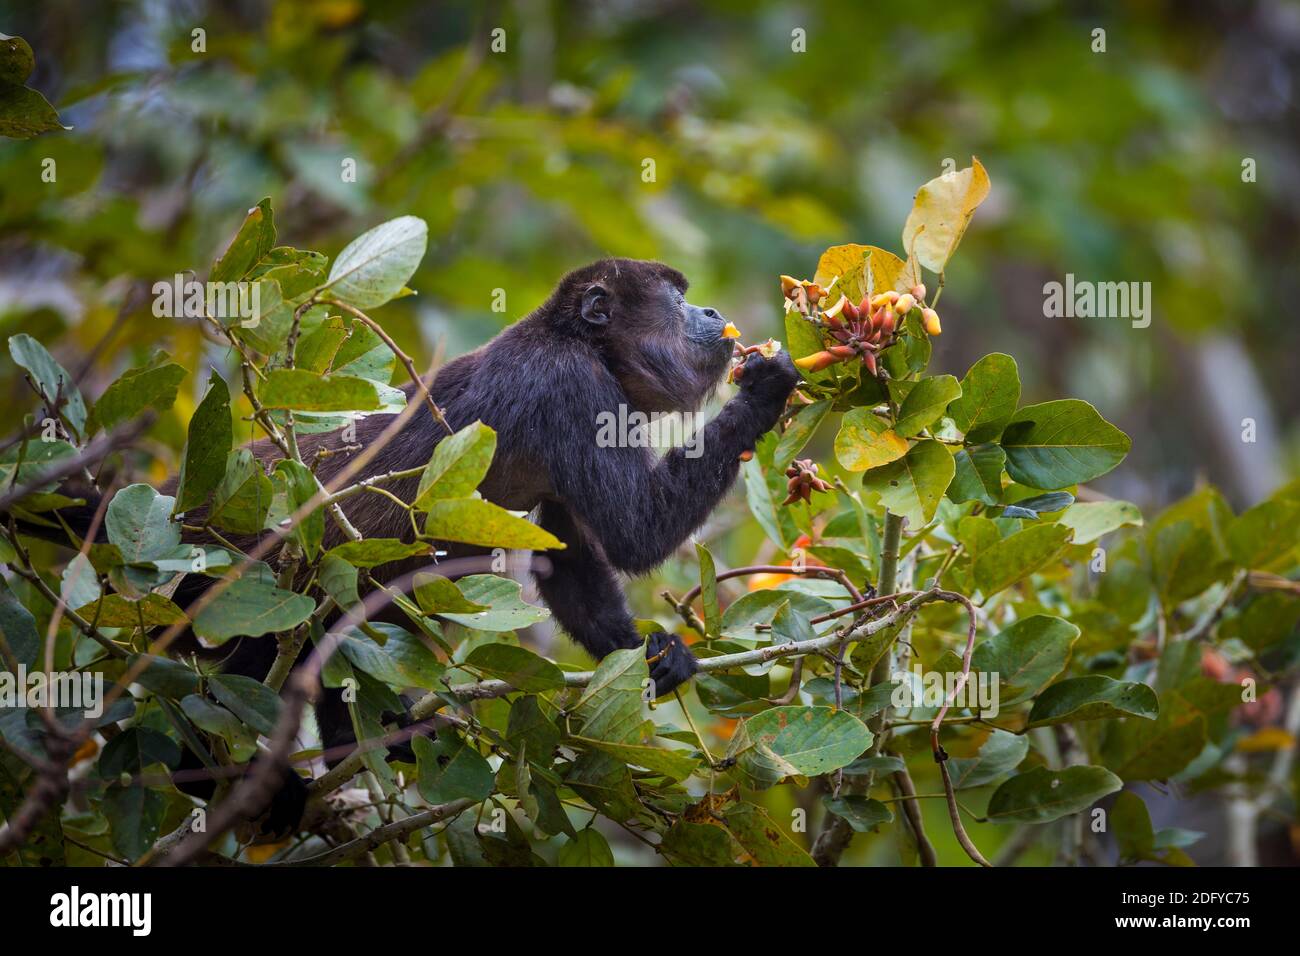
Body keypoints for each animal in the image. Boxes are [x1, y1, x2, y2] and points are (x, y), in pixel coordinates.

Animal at [15, 258, 800, 836]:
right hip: (214, 578)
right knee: (251, 657)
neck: (588, 345)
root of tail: (177, 509)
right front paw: (767, 390)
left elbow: (568, 557)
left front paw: (649, 654)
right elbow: (636, 530)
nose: (710, 313)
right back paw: (232, 775)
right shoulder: (568, 386)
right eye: (674, 296)